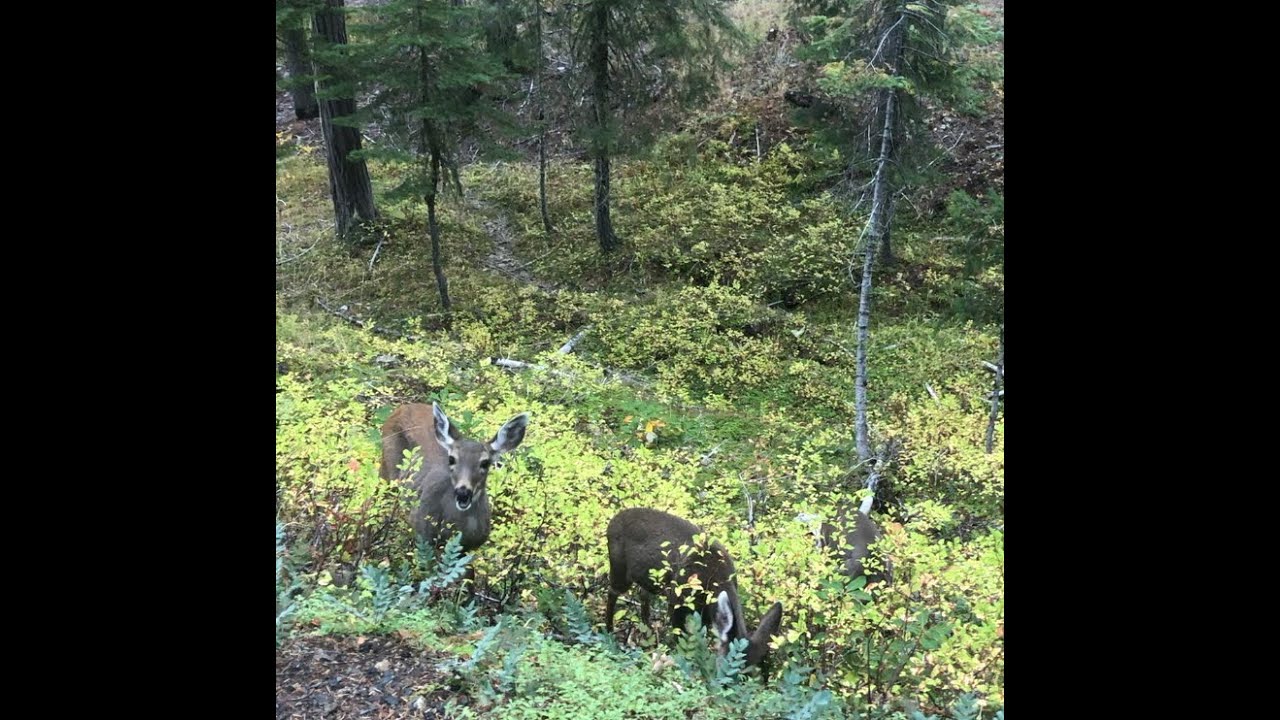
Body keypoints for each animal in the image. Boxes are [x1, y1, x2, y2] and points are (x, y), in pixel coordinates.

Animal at [379, 402, 529, 552]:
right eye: (451, 459)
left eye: (485, 463)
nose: (463, 492)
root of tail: (402, 407)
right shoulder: (423, 533)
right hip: (386, 472)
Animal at [604, 508, 784, 677]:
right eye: (729, 663)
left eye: (750, 673)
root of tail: (613, 521)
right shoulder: (678, 600)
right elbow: (681, 637)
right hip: (619, 569)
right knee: (612, 591)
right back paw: (609, 634)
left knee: (643, 595)